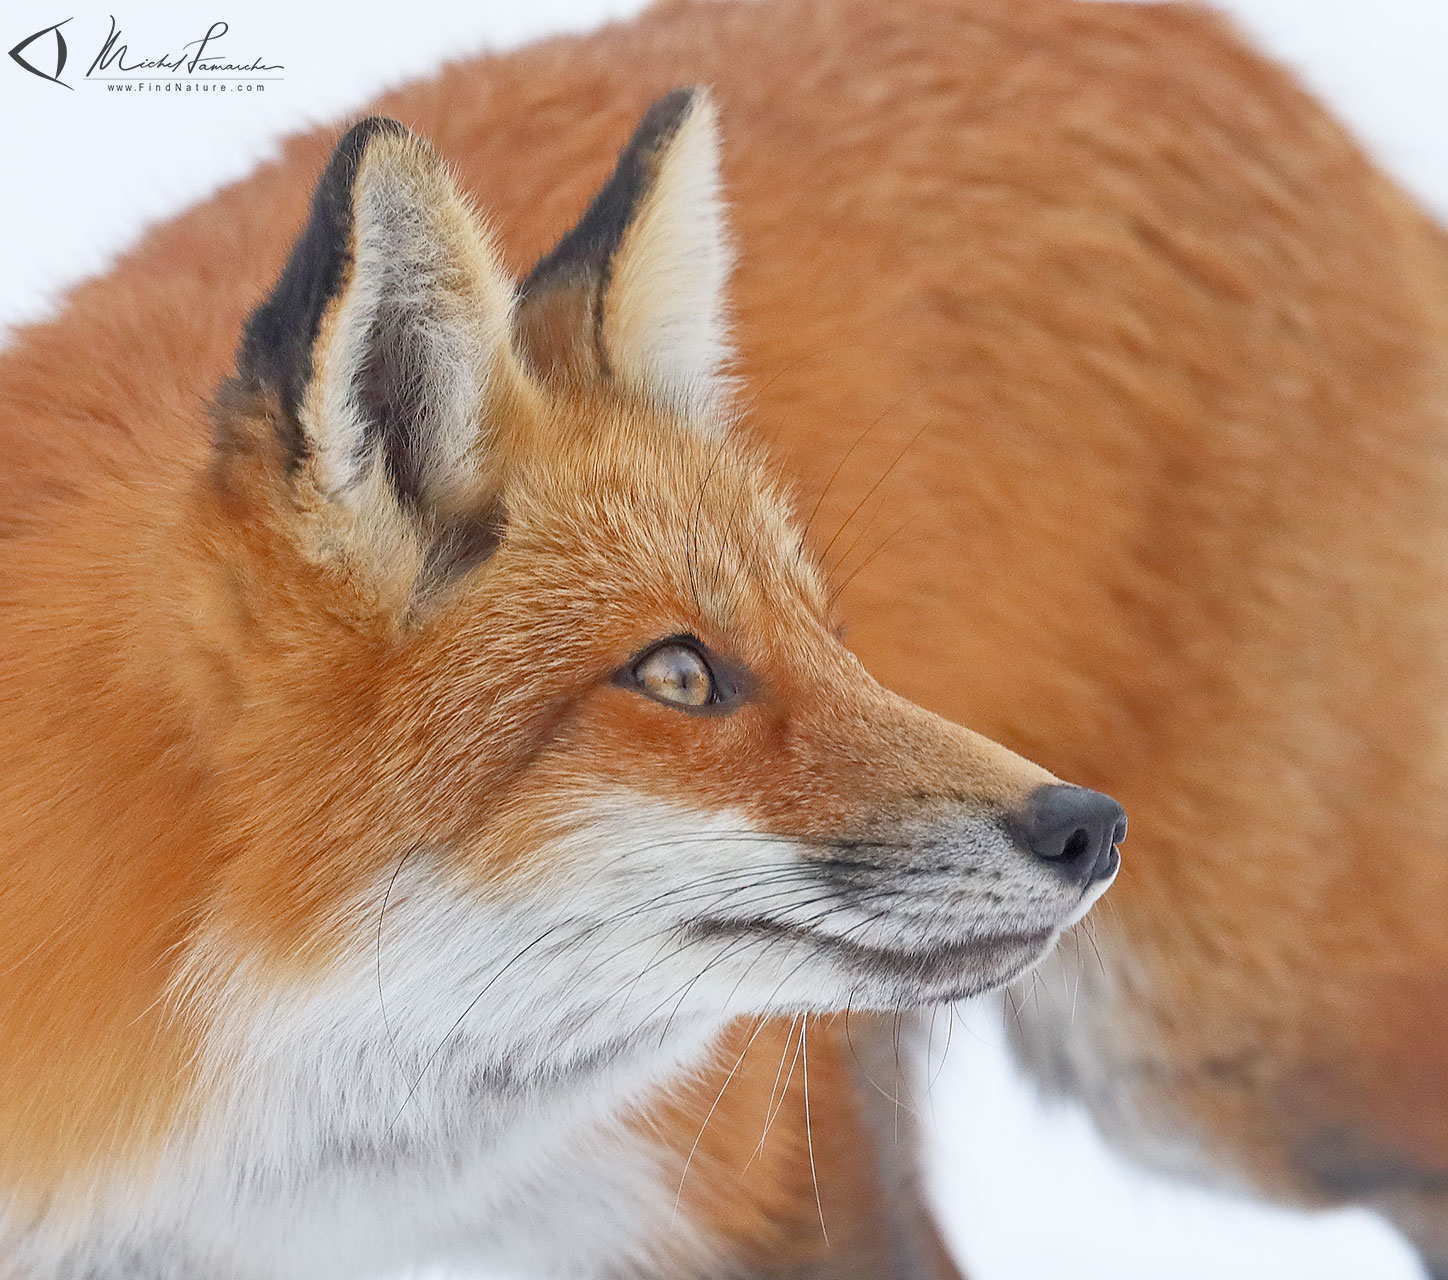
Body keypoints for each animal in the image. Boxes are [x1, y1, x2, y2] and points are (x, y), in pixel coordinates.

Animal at [2, 0, 1446, 1277]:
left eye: (826, 631)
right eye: (680, 674)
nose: (1088, 827)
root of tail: (1206, 35)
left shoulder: (760, 1195)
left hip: (1232, 1064)